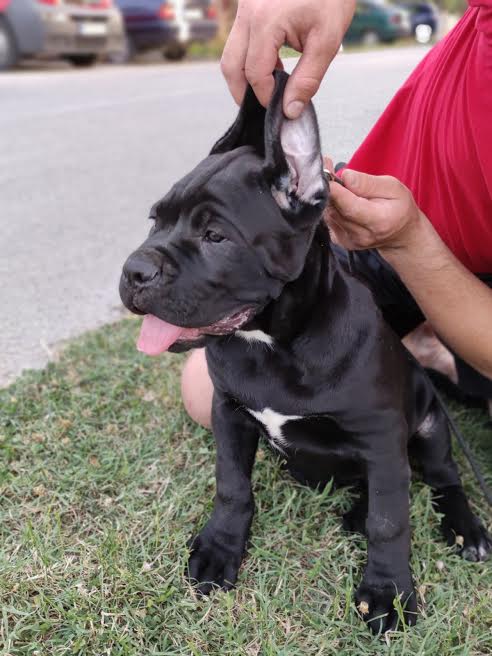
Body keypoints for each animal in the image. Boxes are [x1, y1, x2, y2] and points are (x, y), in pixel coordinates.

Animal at [120, 73, 492, 636]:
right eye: (154, 221)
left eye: (215, 236)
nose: (133, 271)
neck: (275, 342)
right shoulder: (229, 411)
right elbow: (231, 485)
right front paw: (219, 549)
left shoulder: (381, 432)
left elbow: (391, 520)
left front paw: (387, 593)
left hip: (429, 422)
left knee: (442, 476)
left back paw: (465, 529)